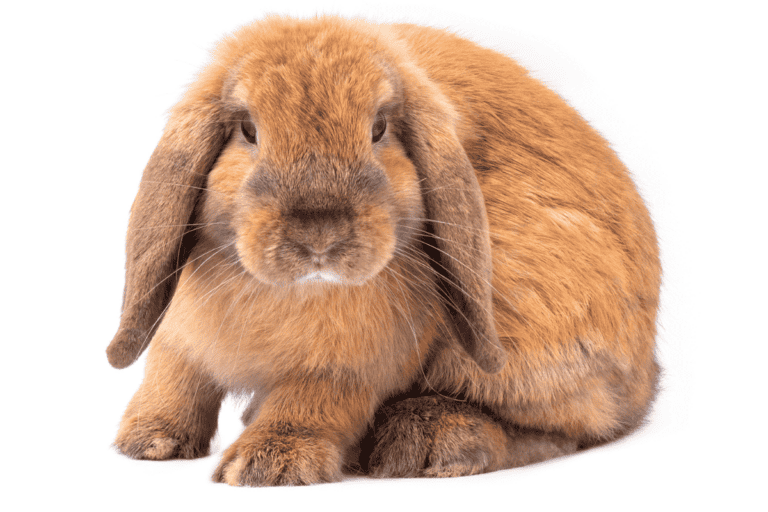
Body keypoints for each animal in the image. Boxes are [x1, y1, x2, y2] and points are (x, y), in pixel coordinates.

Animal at [108, 15, 661, 486]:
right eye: (248, 130)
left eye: (379, 130)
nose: (320, 233)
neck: (292, 292)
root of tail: (647, 375)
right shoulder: (179, 337)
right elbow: (173, 378)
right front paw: (148, 442)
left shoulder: (348, 368)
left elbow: (309, 404)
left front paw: (265, 464)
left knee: (568, 430)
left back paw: (431, 441)